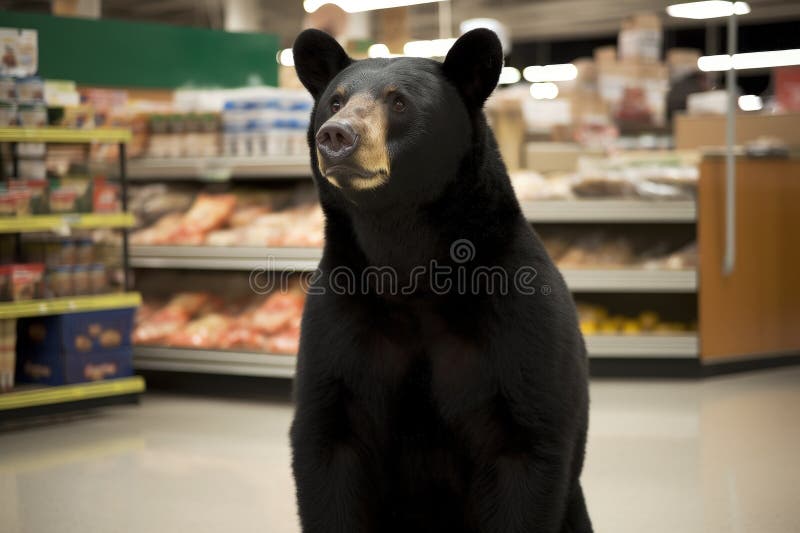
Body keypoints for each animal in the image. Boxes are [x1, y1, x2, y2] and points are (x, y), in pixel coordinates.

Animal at [290, 28, 592, 533]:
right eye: (335, 100)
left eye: (399, 102)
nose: (336, 135)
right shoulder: (339, 319)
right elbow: (327, 447)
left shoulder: (520, 318)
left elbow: (528, 446)